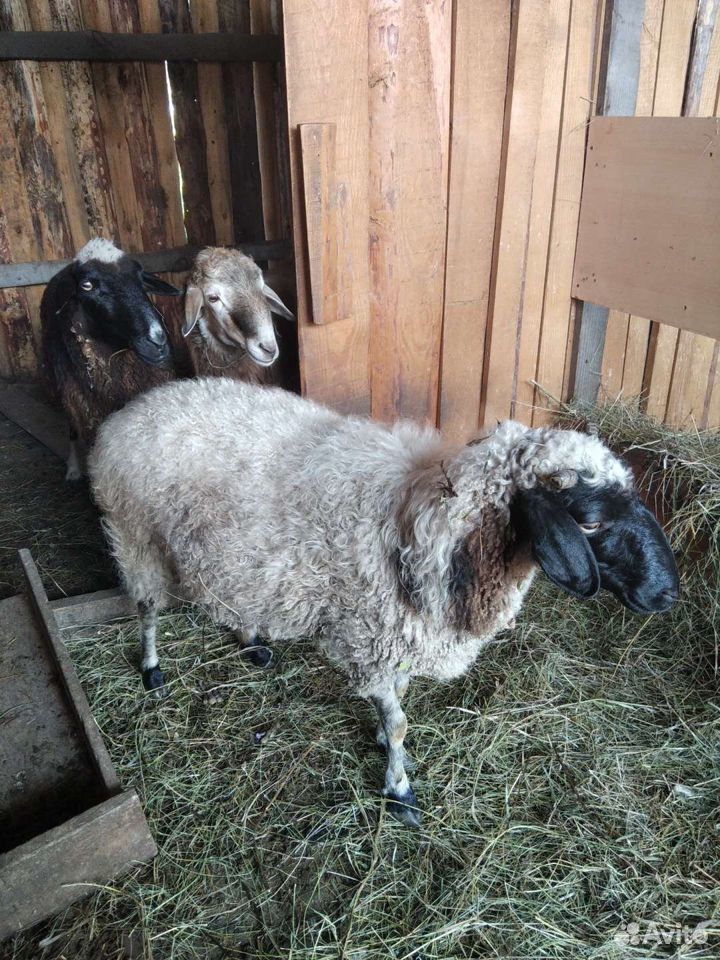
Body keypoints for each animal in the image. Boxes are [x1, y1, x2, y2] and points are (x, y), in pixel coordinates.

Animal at [89, 377, 679, 826]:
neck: (436, 524)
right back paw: (151, 668)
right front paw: (399, 789)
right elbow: (398, 721)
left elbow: (395, 699)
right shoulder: (371, 635)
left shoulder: (396, 635)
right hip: (136, 536)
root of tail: (131, 410)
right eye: (589, 520)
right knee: (146, 608)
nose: (668, 594)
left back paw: (252, 641)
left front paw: (379, 736)